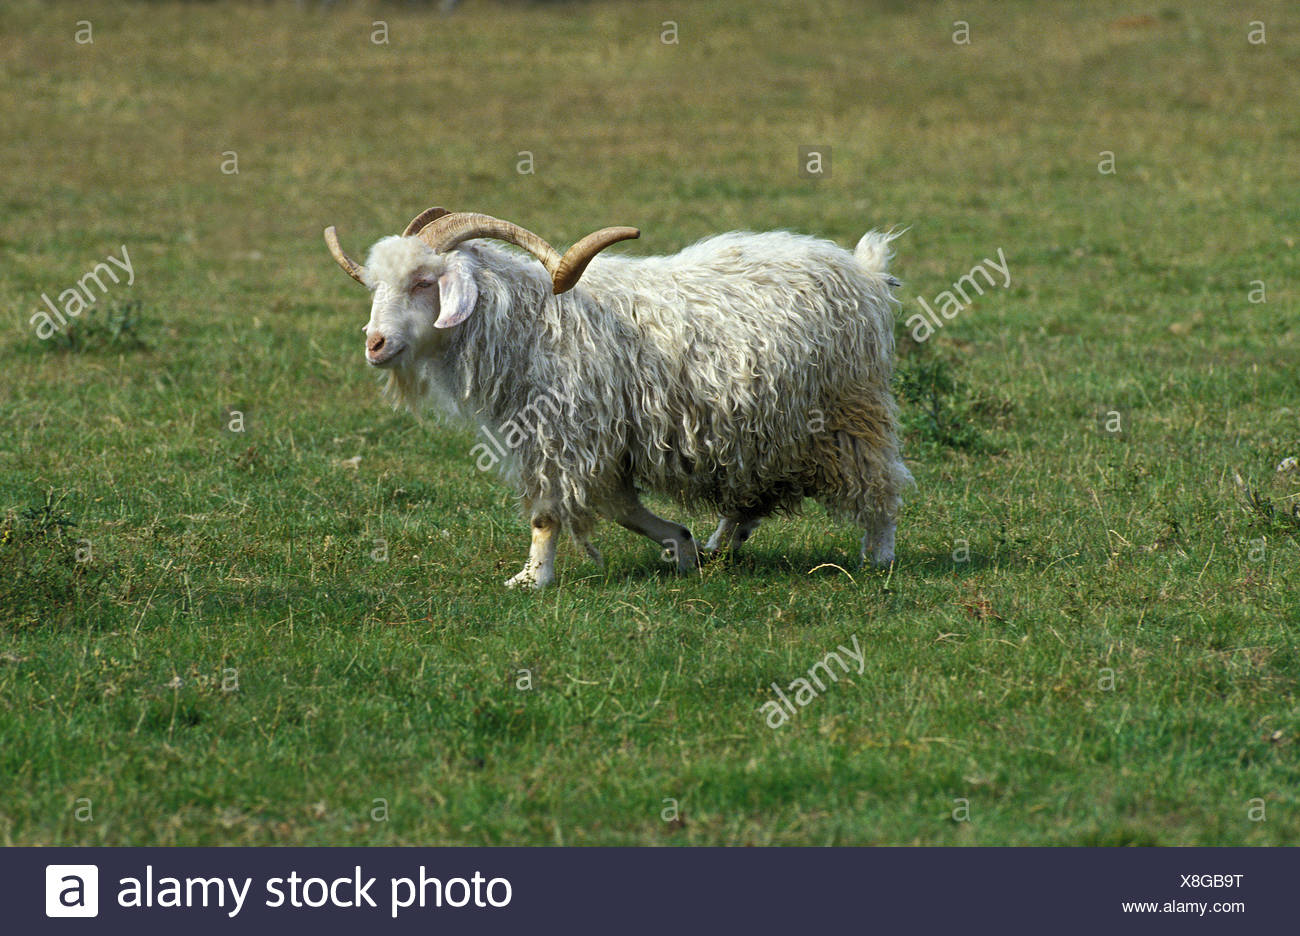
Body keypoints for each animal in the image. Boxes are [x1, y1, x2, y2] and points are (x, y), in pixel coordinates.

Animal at [325, 207, 912, 588]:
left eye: (425, 282)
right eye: (377, 285)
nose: (375, 344)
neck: (533, 321)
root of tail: (864, 270)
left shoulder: (565, 432)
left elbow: (548, 512)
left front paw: (532, 579)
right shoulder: (594, 439)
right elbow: (619, 504)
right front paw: (681, 546)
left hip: (845, 411)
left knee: (879, 482)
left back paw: (879, 558)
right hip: (765, 427)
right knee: (754, 495)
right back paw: (721, 544)